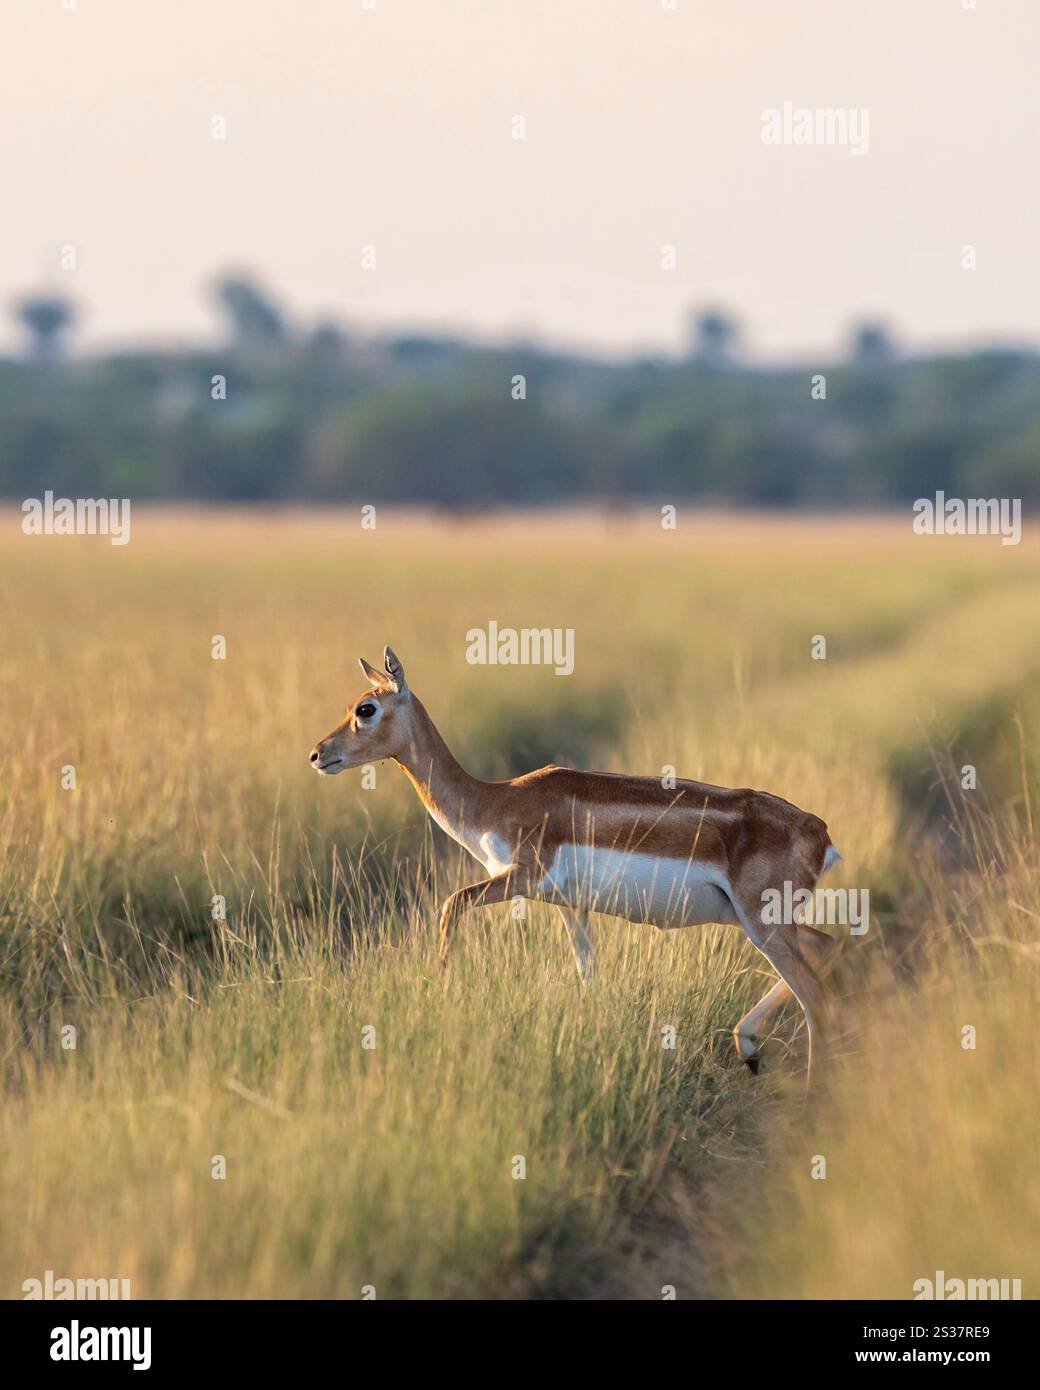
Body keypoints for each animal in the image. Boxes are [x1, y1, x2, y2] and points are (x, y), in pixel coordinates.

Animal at [310, 647, 843, 1083]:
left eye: (366, 708)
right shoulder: (570, 906)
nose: (318, 754)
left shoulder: (519, 877)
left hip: (762, 923)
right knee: (827, 947)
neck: (495, 801)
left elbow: (451, 903)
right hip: (758, 922)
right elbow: (589, 976)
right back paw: (747, 1047)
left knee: (817, 999)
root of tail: (820, 833)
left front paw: (437, 990)